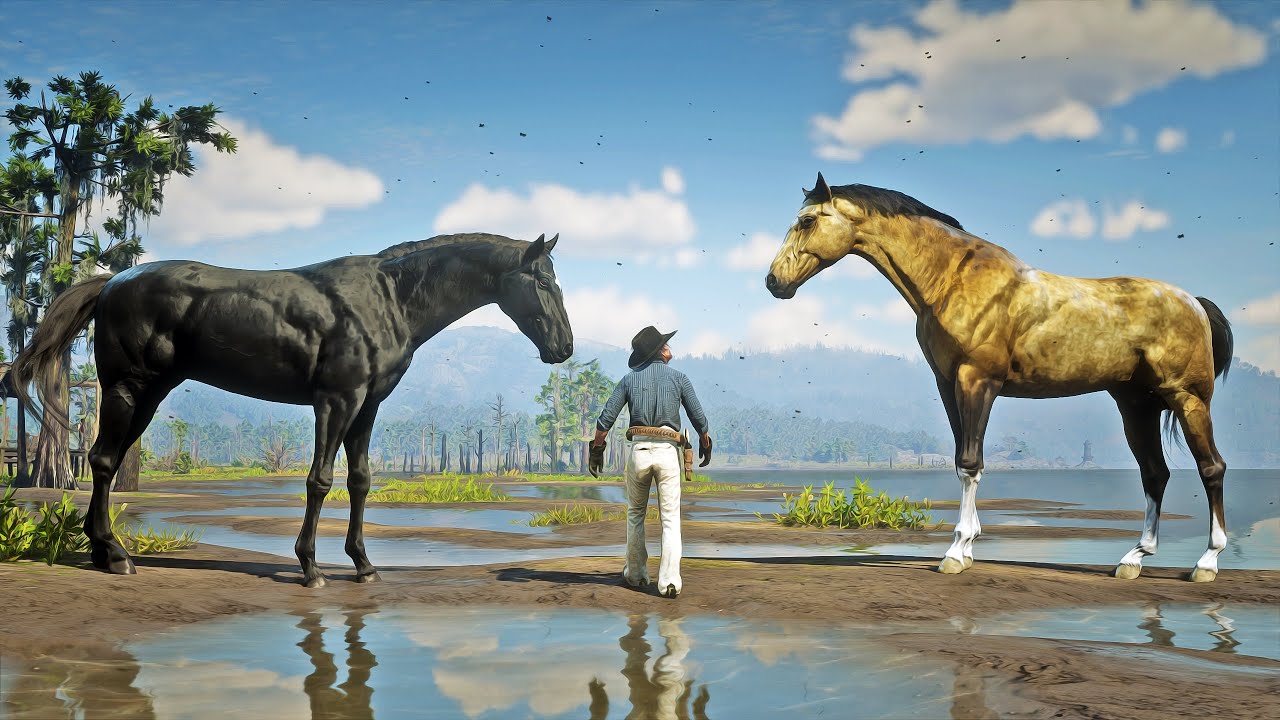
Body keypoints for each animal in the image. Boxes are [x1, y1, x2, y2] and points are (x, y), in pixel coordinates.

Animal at [12, 232, 573, 587]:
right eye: (543, 281)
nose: (564, 347)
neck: (388, 298)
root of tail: (110, 283)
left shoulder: (367, 405)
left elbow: (360, 481)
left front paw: (363, 565)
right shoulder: (337, 400)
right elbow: (319, 480)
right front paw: (310, 568)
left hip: (148, 396)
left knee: (104, 462)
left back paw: (103, 552)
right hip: (129, 389)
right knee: (104, 462)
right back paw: (116, 556)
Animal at [765, 173, 1233, 582]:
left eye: (807, 221)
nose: (774, 281)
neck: (953, 279)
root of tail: (1194, 302)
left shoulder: (978, 381)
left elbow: (970, 463)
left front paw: (956, 552)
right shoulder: (948, 385)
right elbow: (962, 459)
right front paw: (969, 547)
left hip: (1188, 398)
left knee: (1211, 467)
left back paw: (1206, 564)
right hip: (1137, 405)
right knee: (1155, 474)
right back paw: (1132, 559)